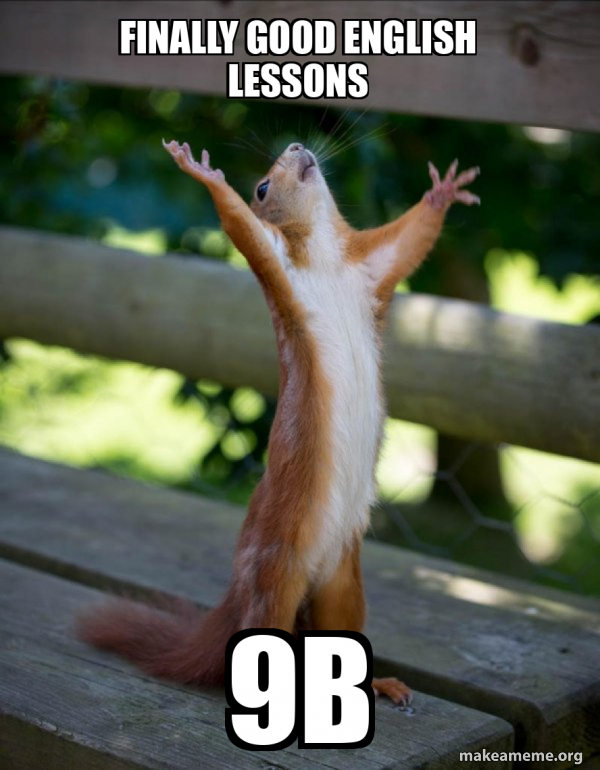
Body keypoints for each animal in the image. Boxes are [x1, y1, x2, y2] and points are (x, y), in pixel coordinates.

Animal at [77, 138, 480, 706]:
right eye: (262, 187)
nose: (296, 146)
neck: (327, 259)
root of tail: (239, 592)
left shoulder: (372, 267)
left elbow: (410, 239)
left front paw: (442, 191)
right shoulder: (277, 265)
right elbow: (240, 226)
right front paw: (203, 173)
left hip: (344, 588)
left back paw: (376, 684)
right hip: (274, 579)